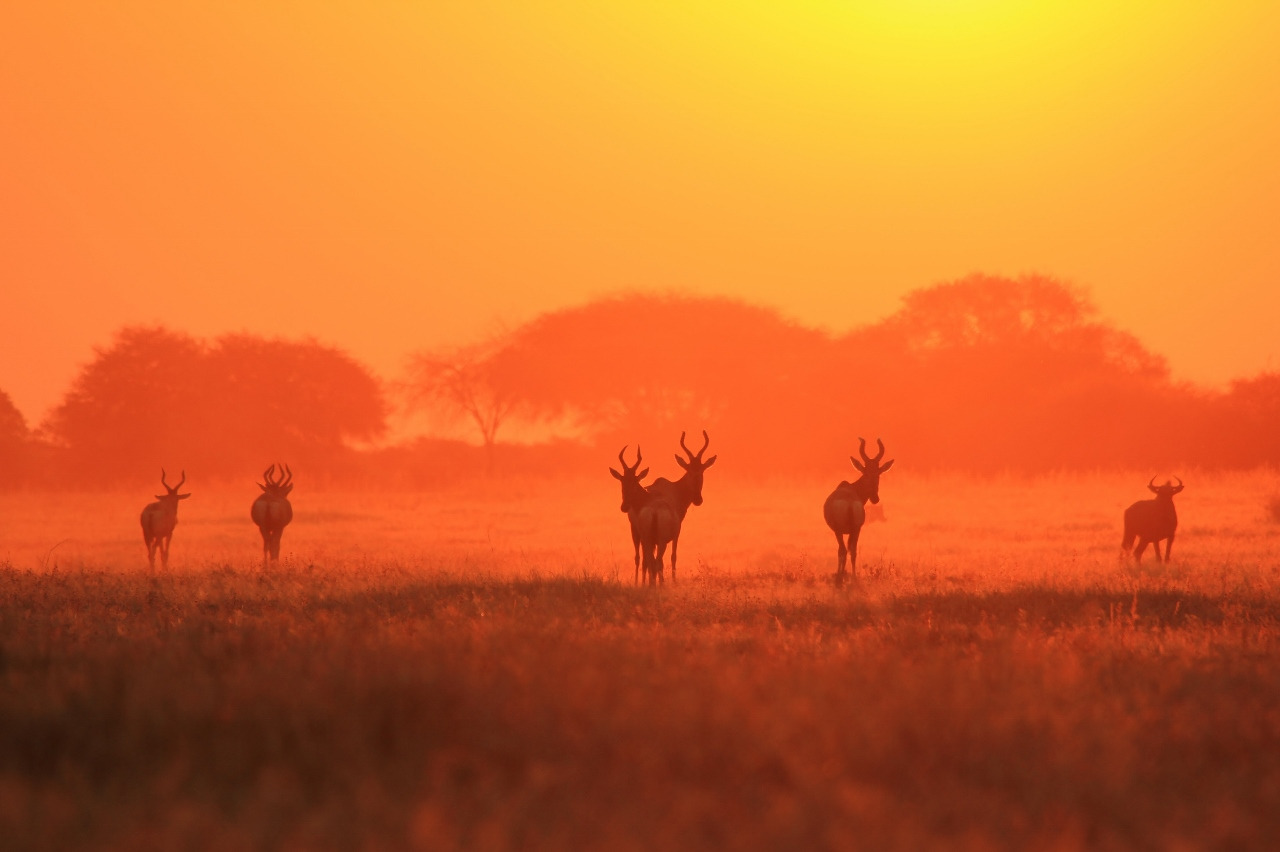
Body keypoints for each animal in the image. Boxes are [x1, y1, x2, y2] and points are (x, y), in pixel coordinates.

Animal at [609, 445, 651, 585]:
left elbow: (645, 558)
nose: (624, 507)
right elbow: (637, 557)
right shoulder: (634, 530)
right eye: (622, 481)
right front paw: (637, 583)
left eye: (635, 482)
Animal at [638, 430, 717, 585]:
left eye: (702, 471)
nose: (698, 500)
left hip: (647, 539)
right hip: (661, 541)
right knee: (657, 561)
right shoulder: (676, 534)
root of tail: (654, 511)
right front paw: (674, 582)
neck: (673, 490)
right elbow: (674, 556)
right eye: (689, 471)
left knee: (649, 561)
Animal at [823, 438, 895, 584]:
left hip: (840, 531)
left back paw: (840, 579)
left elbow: (840, 551)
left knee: (843, 550)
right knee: (852, 551)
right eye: (866, 473)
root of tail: (849, 502)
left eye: (878, 474)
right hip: (856, 529)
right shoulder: (855, 529)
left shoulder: (840, 530)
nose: (875, 498)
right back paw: (853, 579)